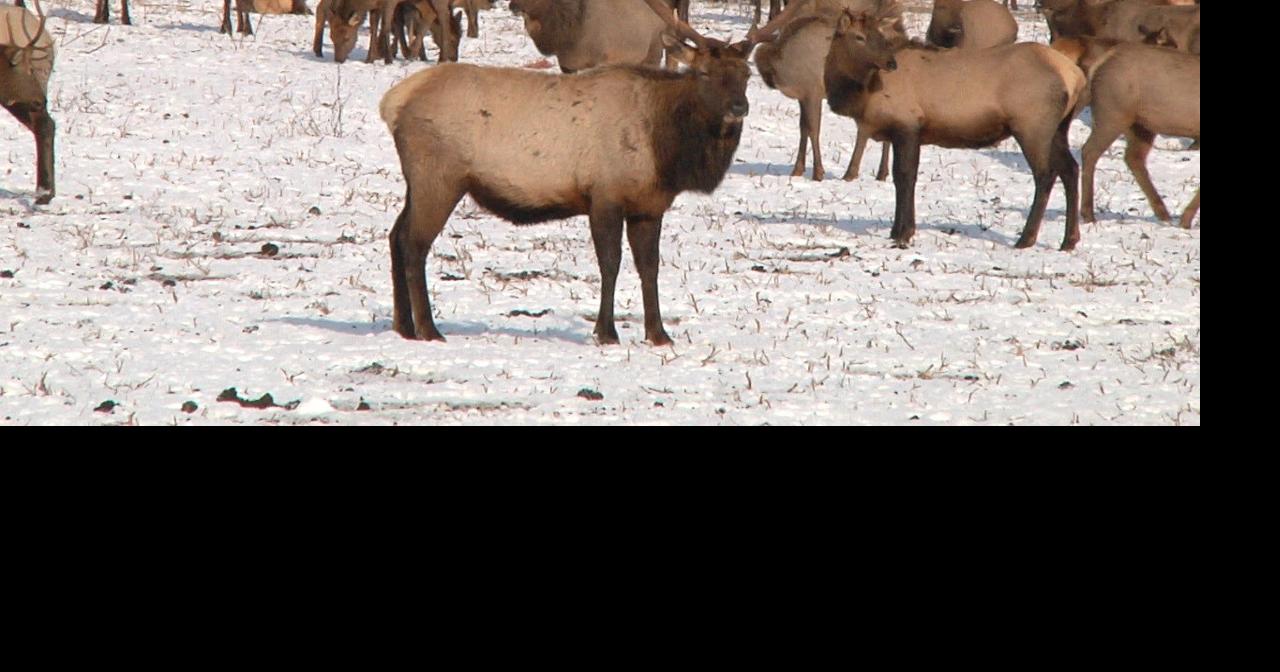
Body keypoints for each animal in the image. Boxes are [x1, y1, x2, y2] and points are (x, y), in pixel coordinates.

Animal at [379, 0, 761, 345]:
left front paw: (658, 334)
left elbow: (649, 267)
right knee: (414, 243)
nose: (738, 107)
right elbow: (610, 263)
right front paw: (606, 332)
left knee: (396, 234)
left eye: (746, 74)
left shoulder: (648, 206)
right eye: (705, 73)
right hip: (439, 177)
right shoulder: (605, 195)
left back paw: (404, 326)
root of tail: (393, 103)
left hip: (419, 181)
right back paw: (429, 329)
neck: (665, 150)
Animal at [823, 3, 1087, 250]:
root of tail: (1076, 76)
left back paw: (1026, 238)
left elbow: (904, 176)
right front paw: (898, 230)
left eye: (881, 36)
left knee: (1045, 174)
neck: (860, 95)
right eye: (859, 37)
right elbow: (904, 177)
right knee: (1070, 169)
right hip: (1058, 128)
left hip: (1032, 126)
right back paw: (1069, 240)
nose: (890, 63)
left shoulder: (907, 125)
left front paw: (903, 233)